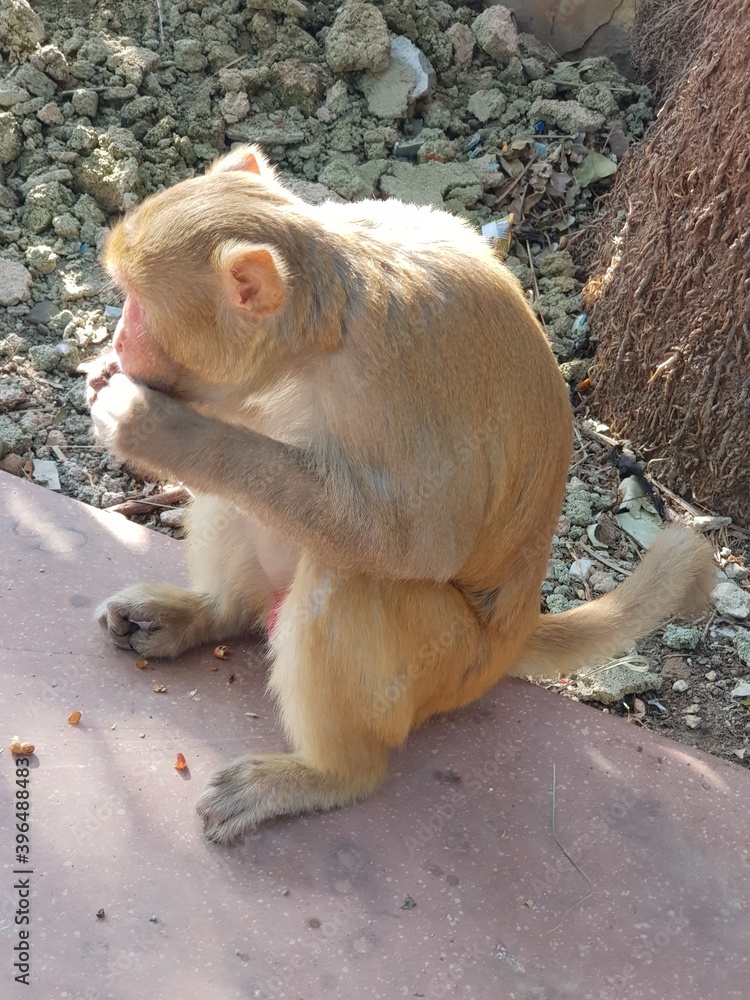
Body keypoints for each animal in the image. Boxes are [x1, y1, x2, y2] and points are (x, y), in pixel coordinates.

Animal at [87, 145, 716, 845]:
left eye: (137, 304)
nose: (118, 339)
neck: (324, 331)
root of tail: (510, 638)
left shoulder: (391, 373)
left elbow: (418, 546)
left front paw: (161, 431)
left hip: (449, 665)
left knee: (352, 575)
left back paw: (329, 774)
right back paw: (213, 615)